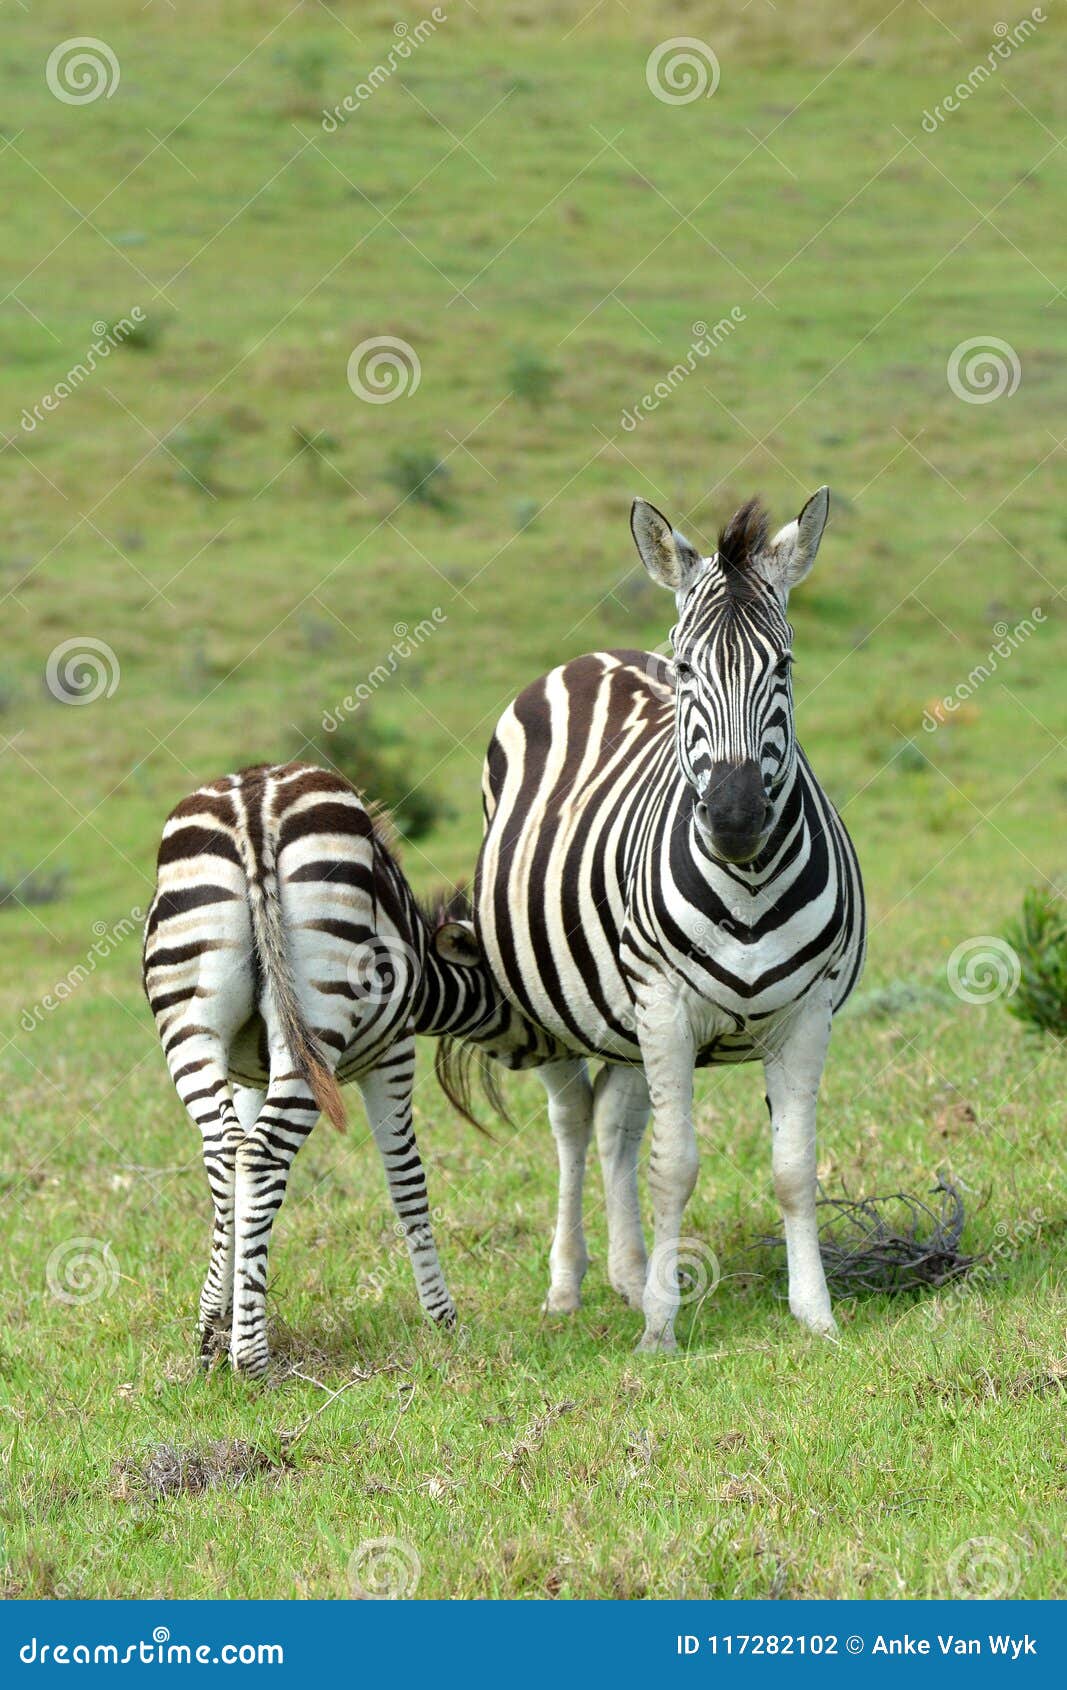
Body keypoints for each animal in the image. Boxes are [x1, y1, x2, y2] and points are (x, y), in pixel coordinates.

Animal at [143, 760, 565, 1377]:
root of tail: (252, 805)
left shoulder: (248, 1077)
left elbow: (236, 1185)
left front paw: (217, 1328)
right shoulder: (393, 1056)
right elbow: (407, 1183)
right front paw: (444, 1322)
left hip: (192, 1023)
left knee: (227, 1151)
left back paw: (215, 1341)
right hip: (320, 1015)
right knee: (262, 1153)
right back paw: (253, 1361)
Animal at [475, 488, 866, 1351]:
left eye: (783, 667)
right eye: (687, 667)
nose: (735, 817)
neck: (746, 885)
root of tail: (598, 657)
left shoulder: (805, 1014)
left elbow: (793, 1170)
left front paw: (814, 1314)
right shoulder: (663, 1005)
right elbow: (674, 1166)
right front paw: (661, 1327)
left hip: (620, 1018)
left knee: (613, 1122)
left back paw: (626, 1273)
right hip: (557, 1007)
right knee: (572, 1123)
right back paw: (568, 1285)